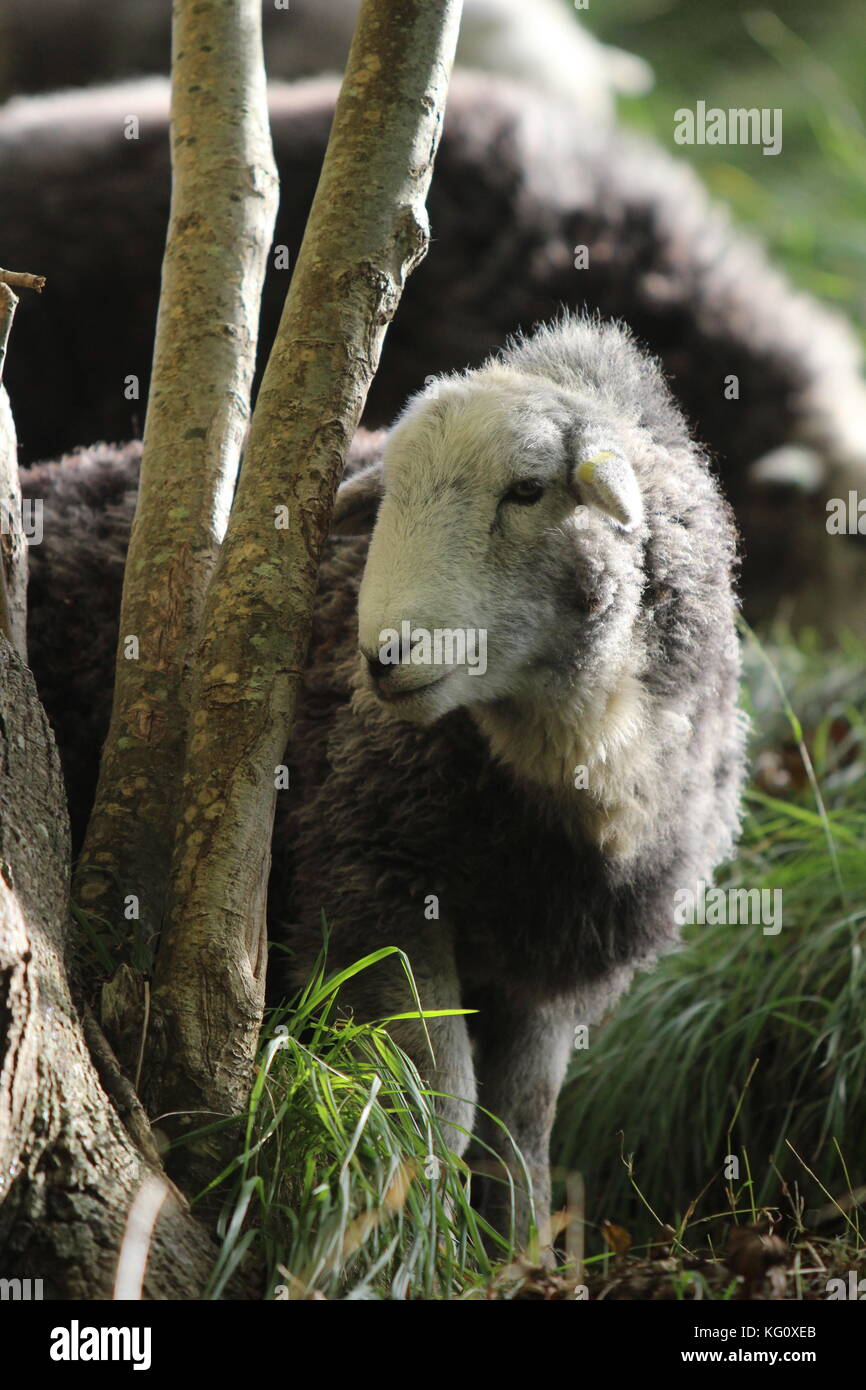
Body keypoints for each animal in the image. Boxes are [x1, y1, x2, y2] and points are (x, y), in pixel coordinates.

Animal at [22, 316, 747, 1246]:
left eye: (528, 489)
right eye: (389, 494)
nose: (385, 658)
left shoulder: (562, 960)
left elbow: (524, 1127)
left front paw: (520, 1251)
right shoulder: (376, 888)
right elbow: (441, 1103)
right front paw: (420, 1237)